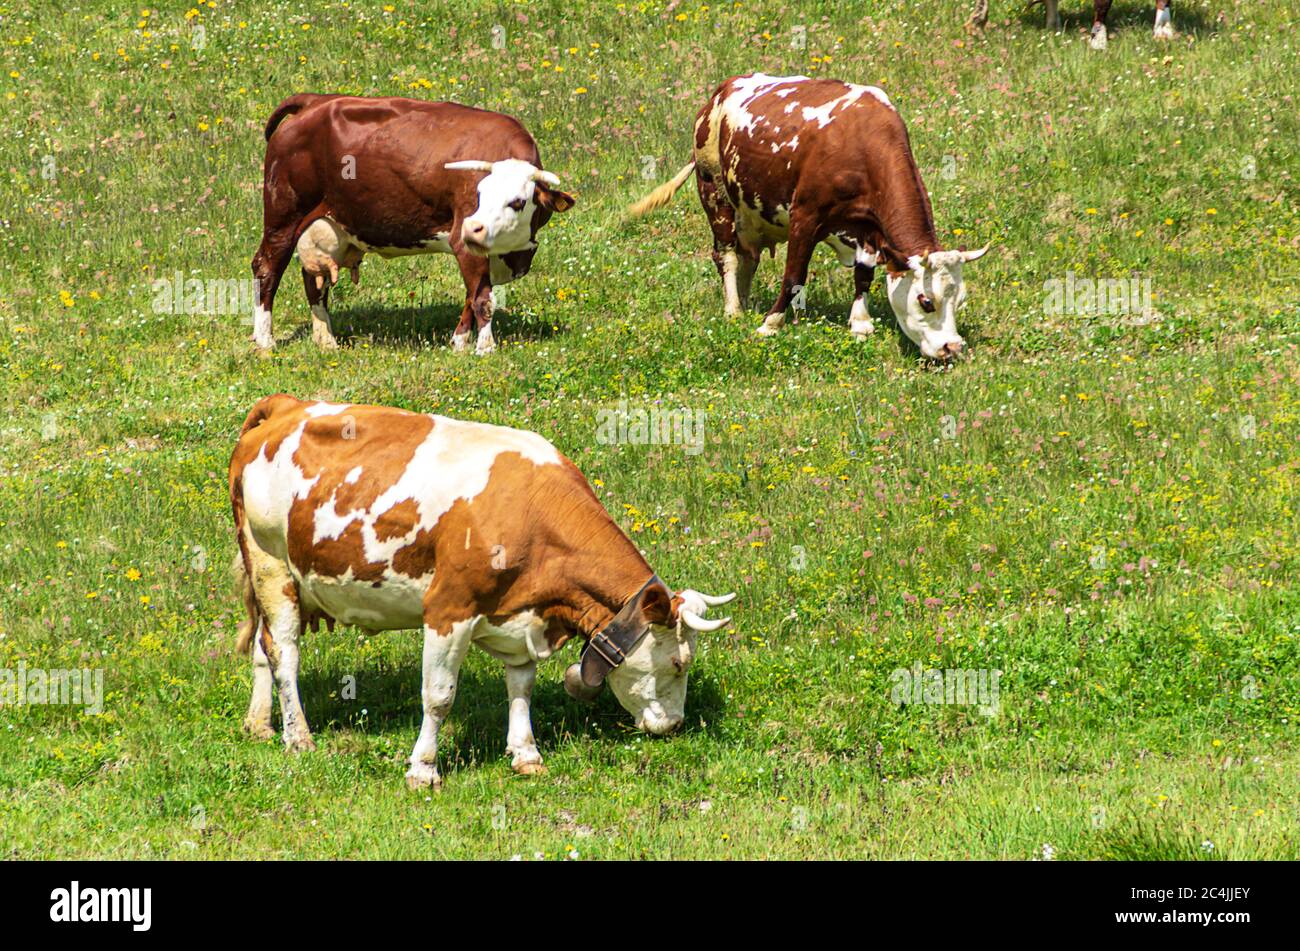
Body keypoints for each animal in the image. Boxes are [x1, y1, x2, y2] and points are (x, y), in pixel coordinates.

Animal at [229, 394, 734, 789]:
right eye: (678, 663)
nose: (674, 725)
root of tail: (287, 406)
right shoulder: (448, 610)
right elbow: (439, 696)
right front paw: (423, 770)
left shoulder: (524, 615)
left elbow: (522, 686)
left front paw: (526, 754)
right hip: (270, 563)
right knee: (284, 651)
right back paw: (298, 737)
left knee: (261, 646)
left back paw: (260, 725)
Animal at [252, 94, 576, 355]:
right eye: (480, 194)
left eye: (517, 201)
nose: (474, 228)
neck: (512, 252)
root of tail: (315, 101)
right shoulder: (463, 242)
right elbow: (483, 298)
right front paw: (485, 348)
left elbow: (472, 295)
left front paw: (459, 342)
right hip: (284, 216)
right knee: (267, 268)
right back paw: (265, 340)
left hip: (328, 225)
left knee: (313, 278)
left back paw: (326, 341)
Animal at [629, 73, 988, 362]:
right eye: (926, 301)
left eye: (960, 299)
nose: (953, 348)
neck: (861, 143)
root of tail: (720, 93)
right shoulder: (805, 217)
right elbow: (793, 276)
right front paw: (771, 324)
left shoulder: (868, 228)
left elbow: (864, 275)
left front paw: (860, 323)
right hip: (715, 193)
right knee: (727, 256)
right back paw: (733, 309)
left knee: (747, 258)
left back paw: (743, 302)